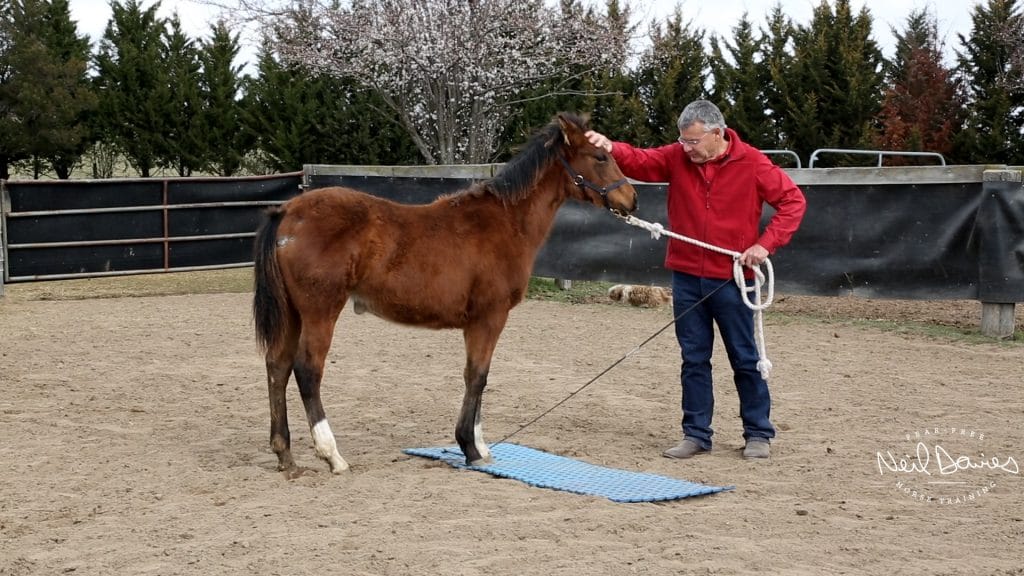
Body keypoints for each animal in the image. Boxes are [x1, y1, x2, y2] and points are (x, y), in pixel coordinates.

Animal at [252, 112, 638, 474]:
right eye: (599, 156)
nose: (631, 199)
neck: (505, 222)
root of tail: (288, 211)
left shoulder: (478, 322)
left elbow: (477, 377)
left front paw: (479, 447)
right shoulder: (490, 317)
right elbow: (477, 377)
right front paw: (470, 447)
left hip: (293, 313)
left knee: (278, 366)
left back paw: (285, 455)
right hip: (321, 311)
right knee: (307, 370)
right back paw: (333, 455)